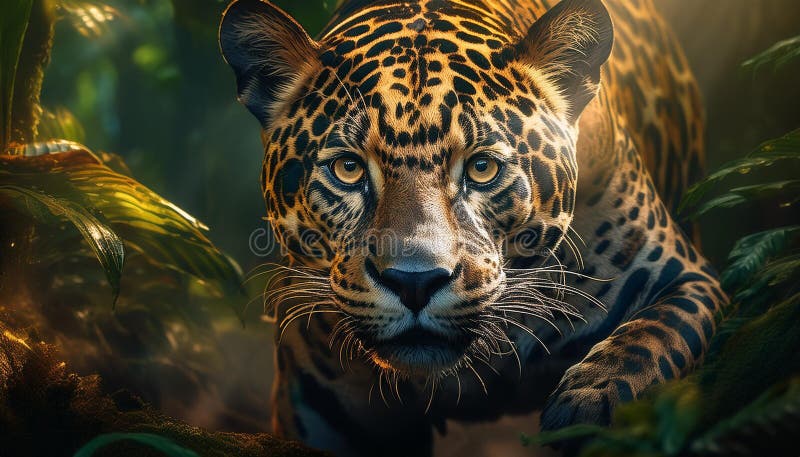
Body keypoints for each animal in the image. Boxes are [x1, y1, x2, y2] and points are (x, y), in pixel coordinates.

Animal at [219, 0, 727, 455]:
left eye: (483, 168)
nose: (415, 282)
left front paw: (591, 400)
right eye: (347, 168)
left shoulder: (686, 276)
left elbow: (652, 337)